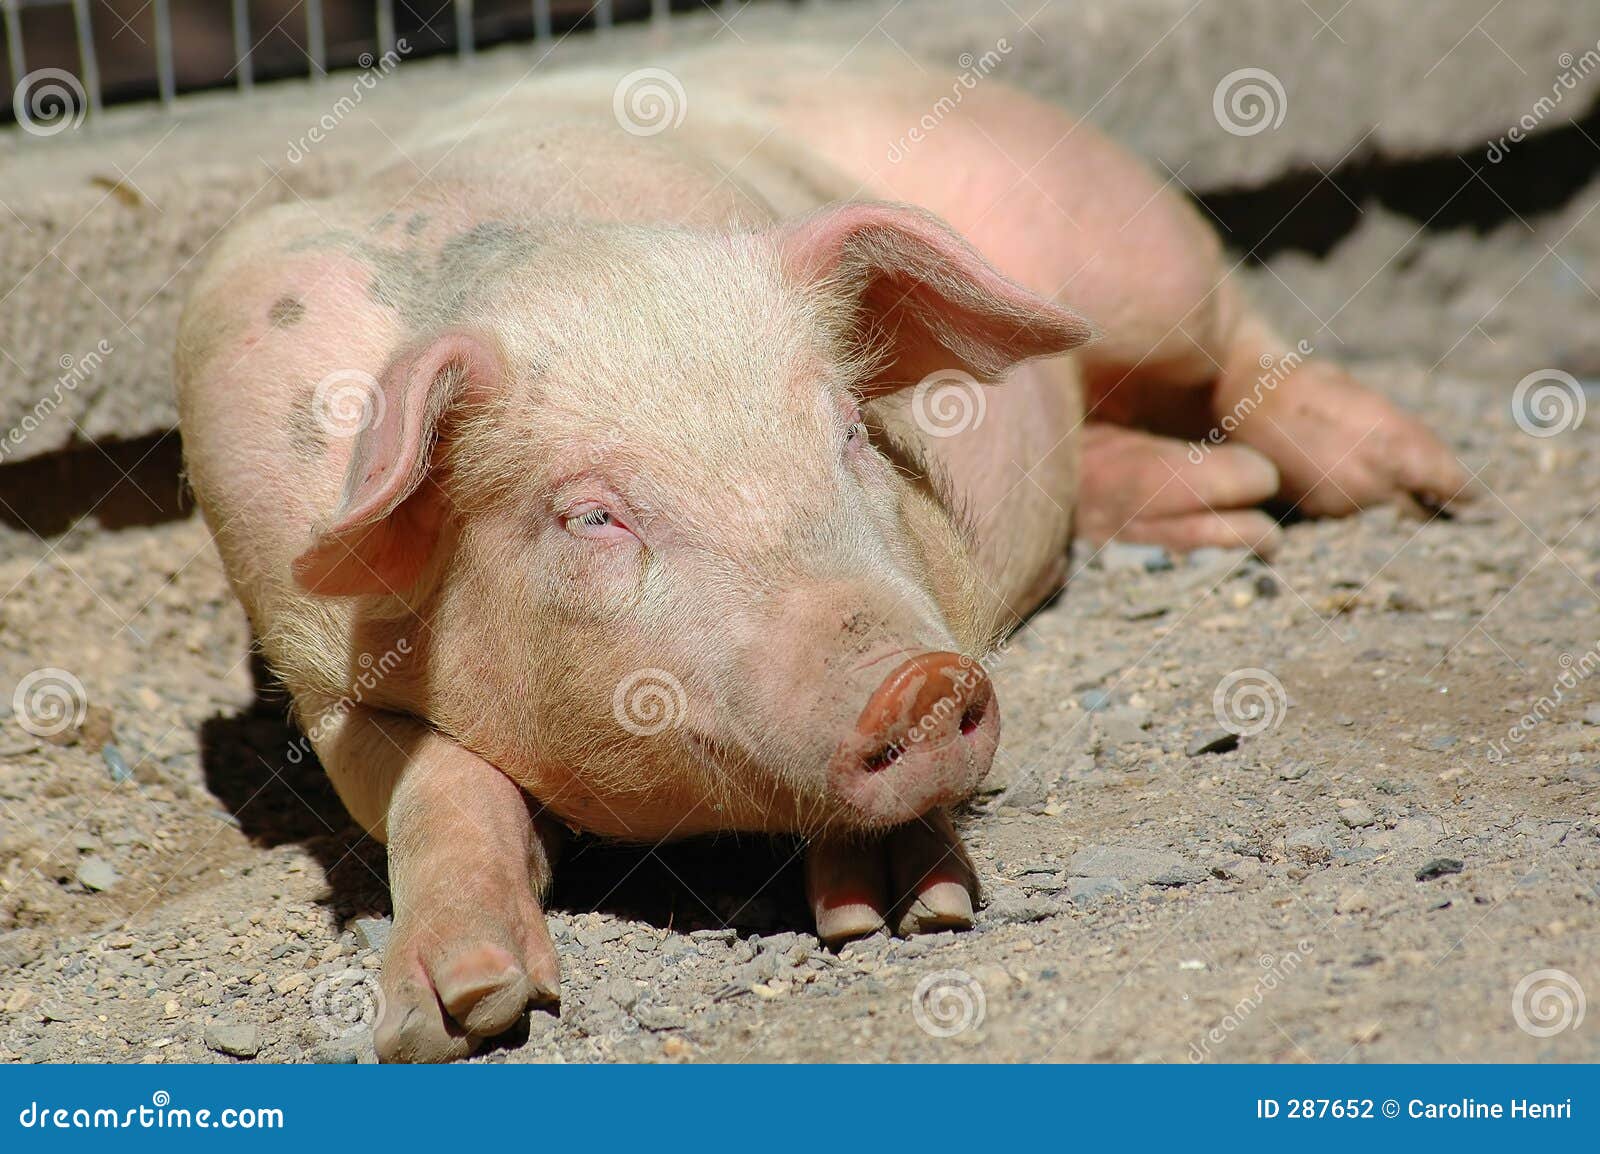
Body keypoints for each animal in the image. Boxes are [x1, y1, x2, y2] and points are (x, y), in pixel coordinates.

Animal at [174, 44, 1470, 1061]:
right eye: (592, 516)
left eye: (847, 431)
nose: (921, 678)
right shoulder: (316, 666)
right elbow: (439, 784)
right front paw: (460, 1013)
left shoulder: (938, 558)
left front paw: (906, 915)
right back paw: (1237, 506)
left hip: (1131, 246)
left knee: (1234, 335)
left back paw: (1421, 484)